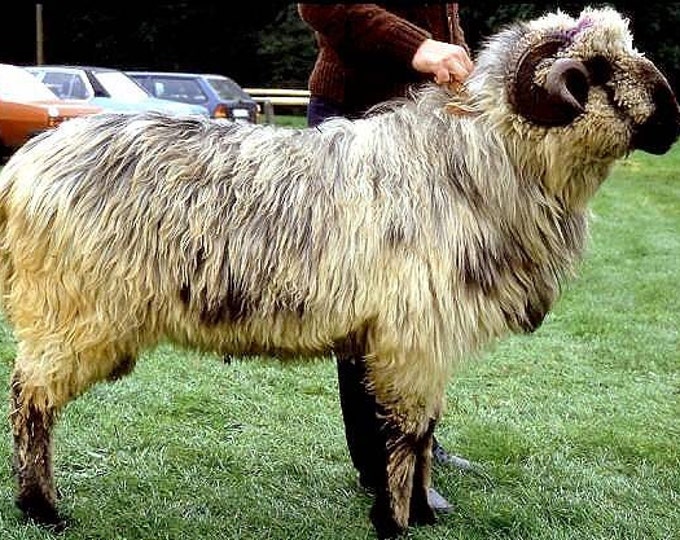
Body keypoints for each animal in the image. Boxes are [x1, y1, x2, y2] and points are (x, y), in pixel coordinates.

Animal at [1, 7, 678, 538]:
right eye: (596, 71)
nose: (672, 116)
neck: (470, 162)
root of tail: (24, 165)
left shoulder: (417, 338)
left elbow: (424, 432)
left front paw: (423, 512)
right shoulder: (412, 337)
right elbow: (408, 430)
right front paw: (395, 521)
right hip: (70, 312)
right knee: (30, 400)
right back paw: (42, 509)